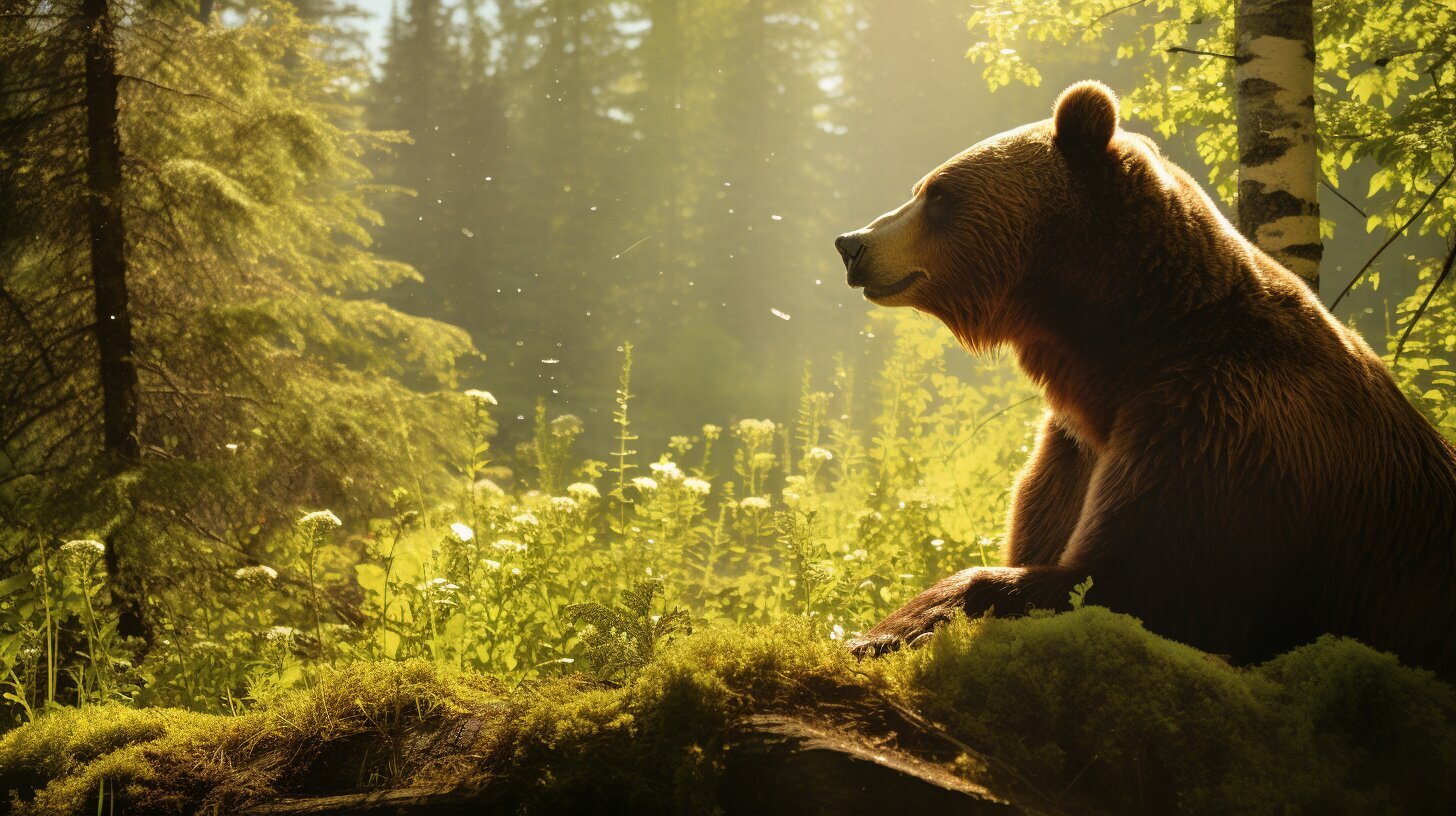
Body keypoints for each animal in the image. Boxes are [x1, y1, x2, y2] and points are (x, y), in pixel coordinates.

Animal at [833, 80, 1456, 680]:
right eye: (922, 188)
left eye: (937, 193)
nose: (851, 243)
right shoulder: (1076, 445)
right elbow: (1050, 530)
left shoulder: (1218, 423)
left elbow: (1141, 581)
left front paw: (888, 628)